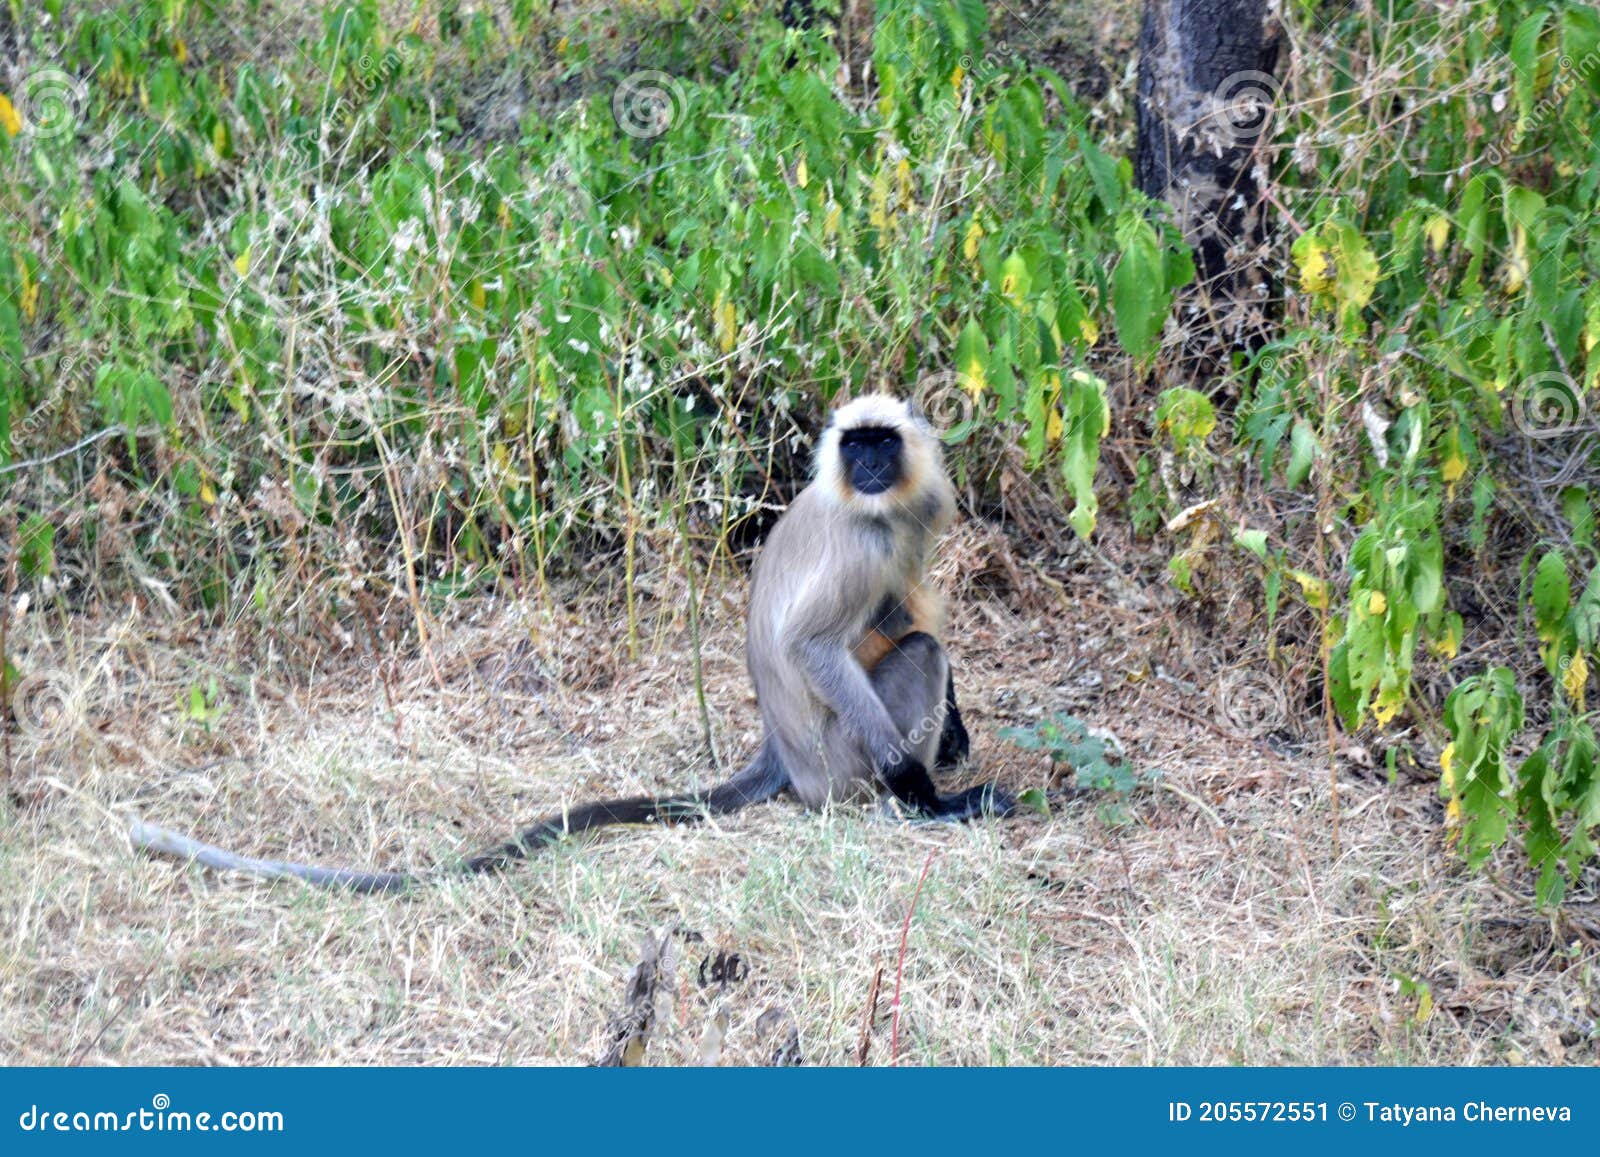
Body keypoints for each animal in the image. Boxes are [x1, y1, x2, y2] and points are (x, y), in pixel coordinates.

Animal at [129, 394, 1011, 893]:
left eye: (882, 442)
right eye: (854, 445)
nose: (867, 464)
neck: (874, 505)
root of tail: (783, 757)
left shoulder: (910, 518)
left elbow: (908, 605)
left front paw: (956, 735)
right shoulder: (863, 542)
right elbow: (818, 646)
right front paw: (925, 793)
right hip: (839, 766)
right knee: (913, 659)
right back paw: (915, 801)